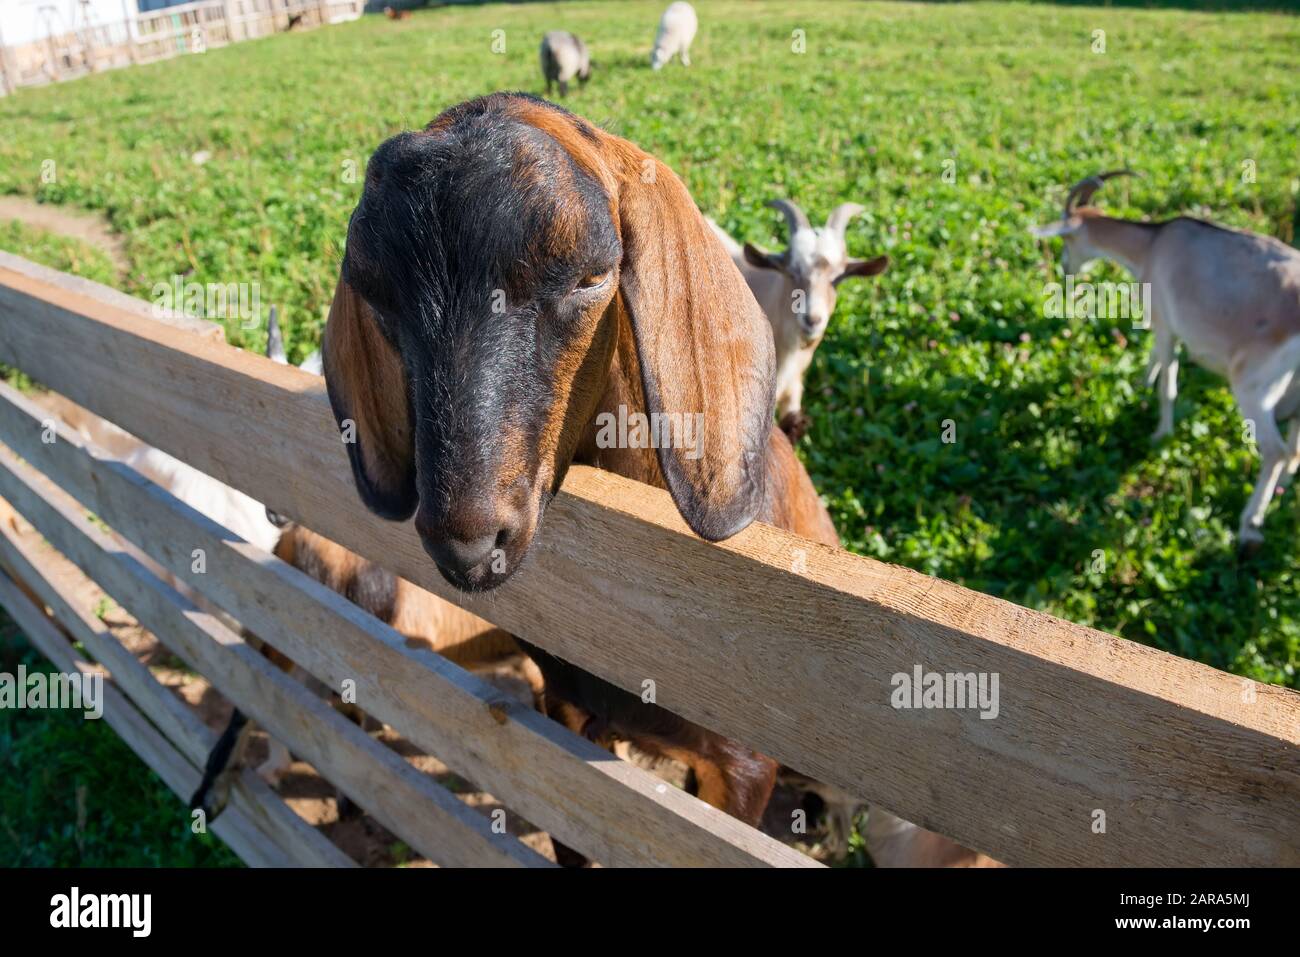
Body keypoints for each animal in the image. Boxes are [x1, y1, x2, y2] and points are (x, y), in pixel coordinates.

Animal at [1032, 171, 1300, 552]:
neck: (1152, 245)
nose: (1064, 268)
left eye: (1067, 239)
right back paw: (1286, 484)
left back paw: (1249, 525)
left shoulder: (1165, 322)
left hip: (1252, 384)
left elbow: (1167, 384)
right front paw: (1139, 386)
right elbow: (1154, 362)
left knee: (1275, 451)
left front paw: (1161, 434)